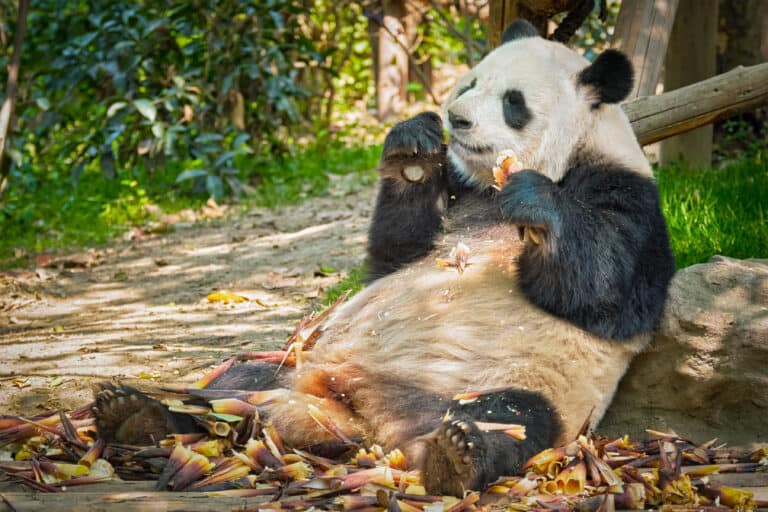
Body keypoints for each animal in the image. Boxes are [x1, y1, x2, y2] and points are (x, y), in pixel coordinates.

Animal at [93, 20, 675, 497]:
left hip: (519, 382)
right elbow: (395, 254)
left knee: (511, 417)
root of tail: (361, 417)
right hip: (294, 363)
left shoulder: (629, 196)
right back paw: (140, 416)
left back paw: (456, 457)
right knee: (233, 384)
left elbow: (607, 291)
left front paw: (535, 202)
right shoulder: (462, 194)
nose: (456, 119)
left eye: (513, 101)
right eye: (471, 84)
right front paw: (414, 145)